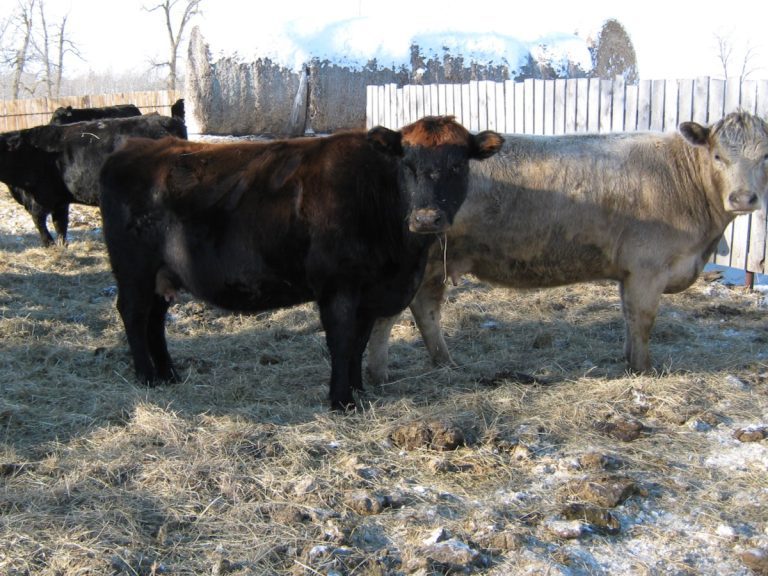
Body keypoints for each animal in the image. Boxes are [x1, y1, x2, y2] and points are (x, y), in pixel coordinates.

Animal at [0, 113, 187, 246]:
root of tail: (167, 121)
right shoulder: (59, 199)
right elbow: (60, 223)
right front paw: (62, 245)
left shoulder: (42, 196)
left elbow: (40, 221)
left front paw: (49, 244)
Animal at [98, 116, 503, 410]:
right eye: (407, 163)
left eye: (457, 166)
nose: (426, 218)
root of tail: (134, 149)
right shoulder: (338, 287)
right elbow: (341, 340)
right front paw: (341, 401)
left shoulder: (370, 294)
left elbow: (358, 343)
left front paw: (358, 390)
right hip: (134, 270)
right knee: (133, 314)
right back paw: (147, 376)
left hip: (162, 275)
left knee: (154, 320)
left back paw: (169, 375)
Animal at [366, 111, 768, 384]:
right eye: (718, 156)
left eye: (765, 156)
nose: (744, 198)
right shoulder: (647, 269)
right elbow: (643, 320)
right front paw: (644, 369)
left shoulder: (630, 273)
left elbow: (628, 317)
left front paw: (628, 360)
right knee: (395, 314)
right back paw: (381, 373)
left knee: (424, 309)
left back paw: (443, 362)